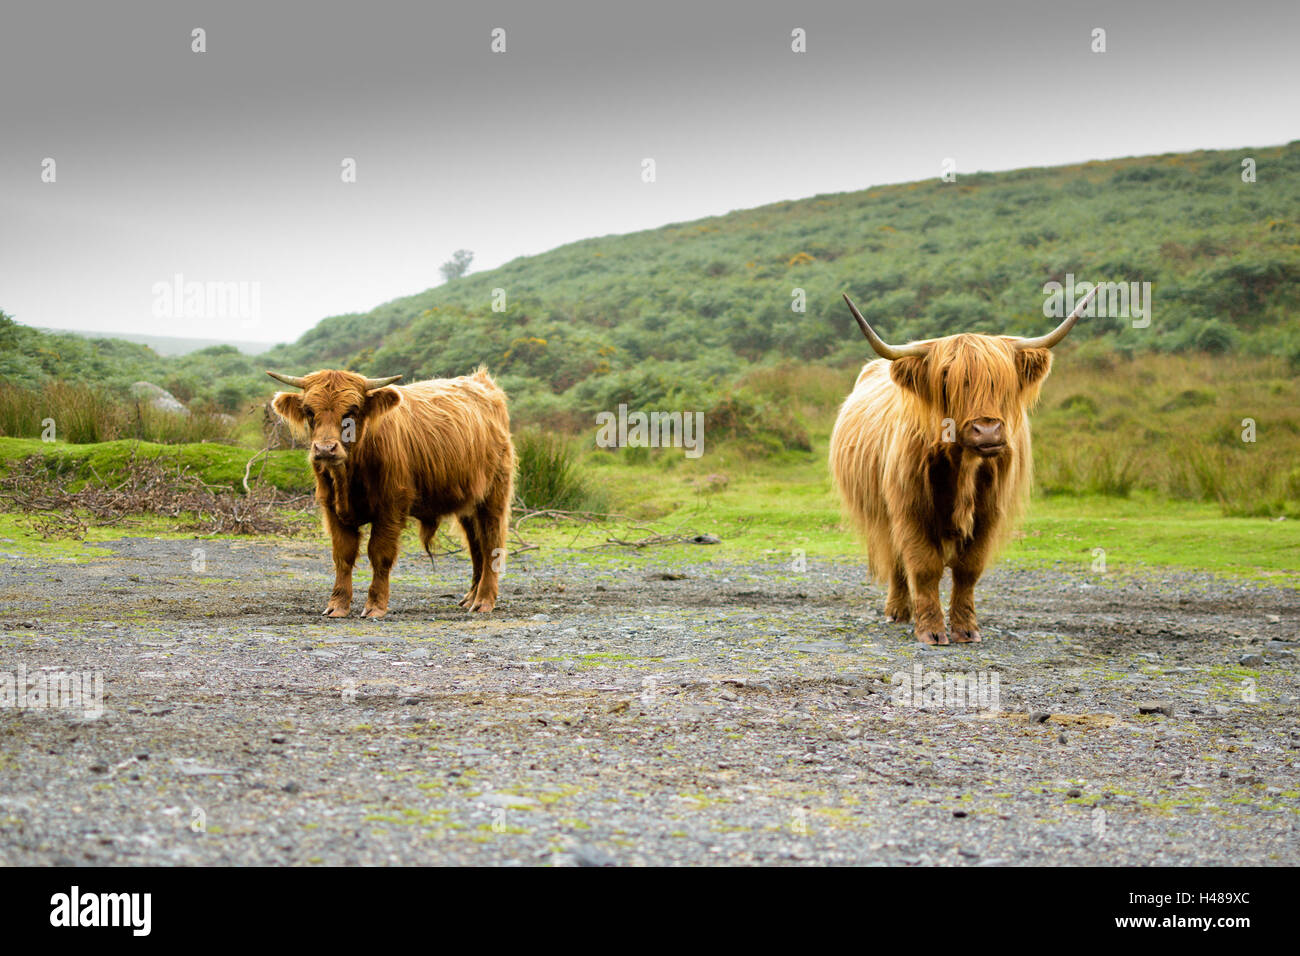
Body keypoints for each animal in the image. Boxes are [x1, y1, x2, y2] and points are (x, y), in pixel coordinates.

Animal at [266, 367, 515, 618]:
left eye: (352, 411)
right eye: (309, 411)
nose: (325, 449)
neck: (349, 475)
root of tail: (481, 382)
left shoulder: (390, 507)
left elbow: (379, 553)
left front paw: (375, 605)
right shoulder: (332, 509)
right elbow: (343, 555)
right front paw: (337, 605)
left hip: (494, 495)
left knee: (490, 542)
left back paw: (484, 600)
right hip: (468, 503)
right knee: (475, 545)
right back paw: (471, 596)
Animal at [829, 285, 1098, 645]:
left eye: (1003, 378)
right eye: (946, 377)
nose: (988, 430)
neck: (963, 466)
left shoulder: (990, 512)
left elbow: (969, 568)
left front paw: (966, 629)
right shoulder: (910, 508)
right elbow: (924, 566)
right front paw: (931, 630)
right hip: (881, 513)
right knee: (896, 559)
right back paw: (898, 612)